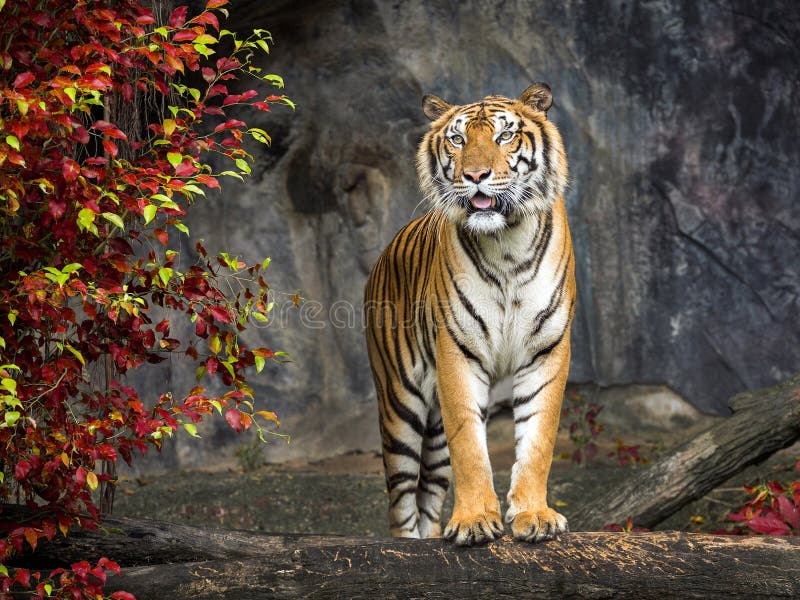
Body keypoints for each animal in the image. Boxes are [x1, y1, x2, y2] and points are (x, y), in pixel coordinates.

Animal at [364, 83, 575, 546]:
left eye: (504, 136)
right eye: (458, 140)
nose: (475, 175)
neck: (507, 243)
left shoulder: (547, 350)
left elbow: (538, 440)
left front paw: (534, 515)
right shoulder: (456, 352)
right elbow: (470, 447)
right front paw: (476, 520)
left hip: (432, 431)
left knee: (428, 496)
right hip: (399, 403)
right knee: (401, 502)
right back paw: (405, 545)